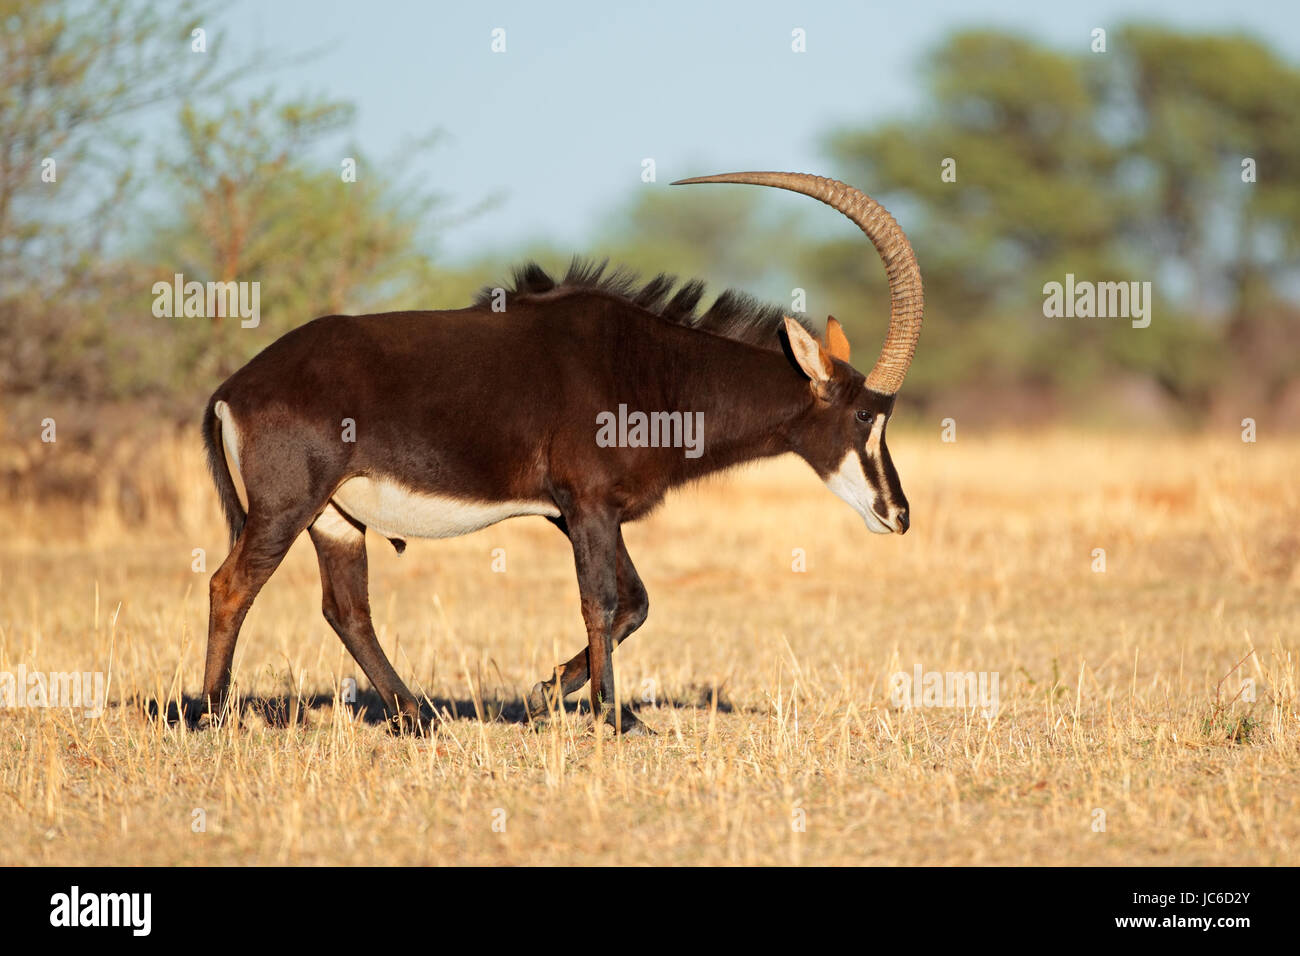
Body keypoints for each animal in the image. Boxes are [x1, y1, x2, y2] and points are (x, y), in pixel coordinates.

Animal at [199, 171, 923, 736]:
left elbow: (636, 602)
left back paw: (416, 718)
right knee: (231, 584)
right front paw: (611, 718)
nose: (898, 515)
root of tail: (233, 388)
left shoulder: (580, 513)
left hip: (336, 518)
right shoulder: (589, 505)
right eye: (865, 415)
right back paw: (209, 715)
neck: (653, 370)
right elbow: (600, 601)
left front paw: (551, 691)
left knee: (347, 610)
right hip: (287, 505)